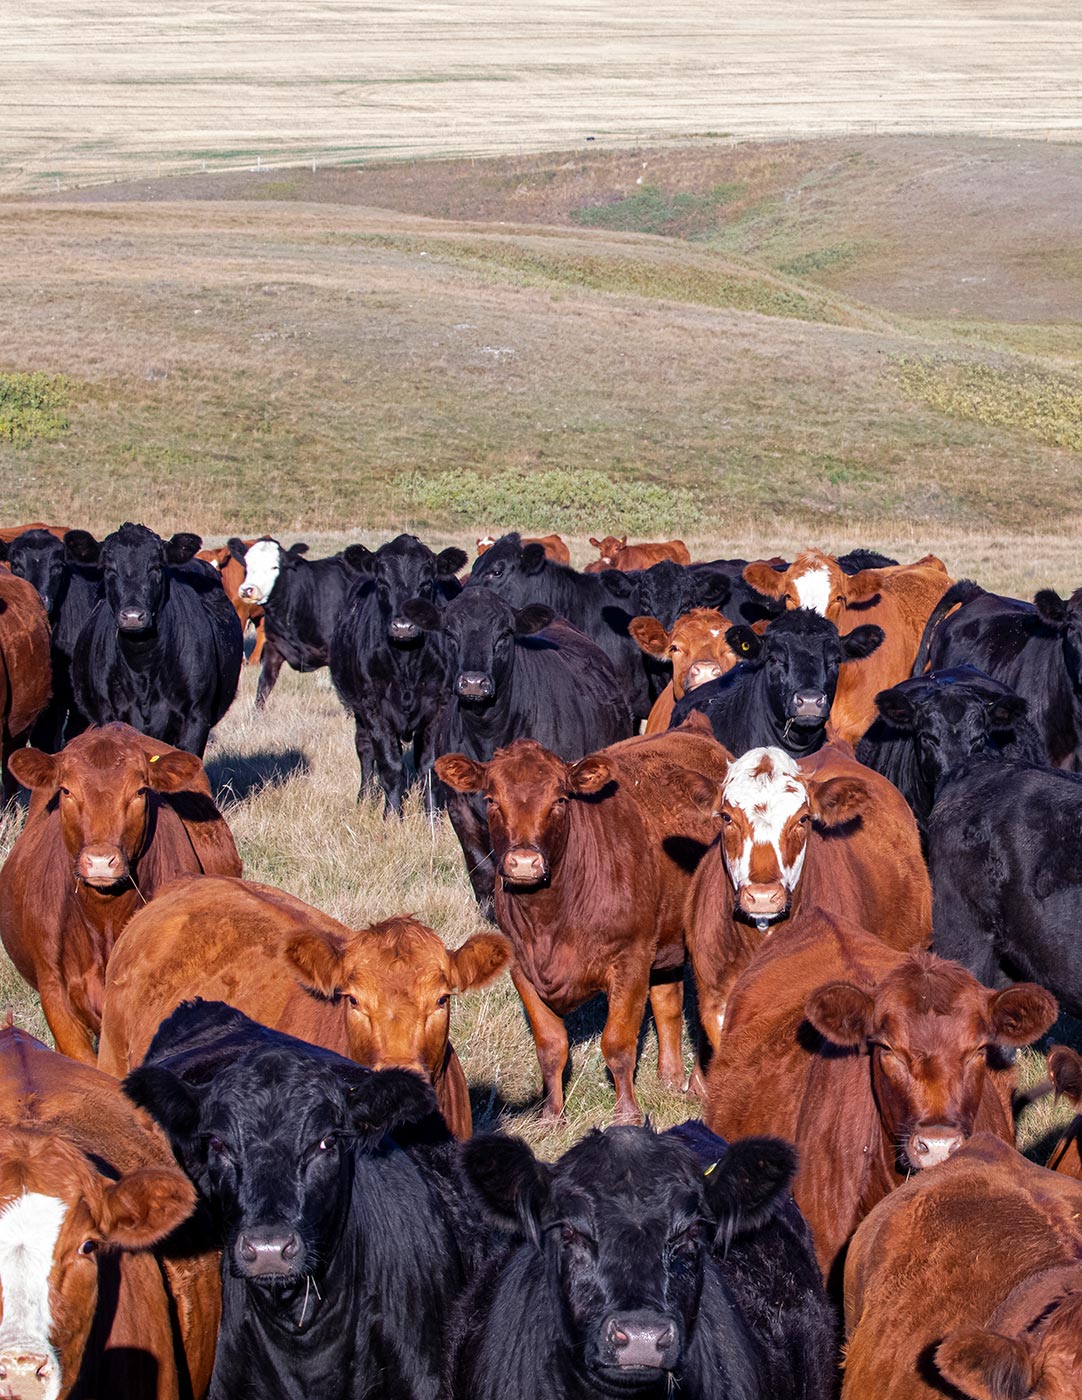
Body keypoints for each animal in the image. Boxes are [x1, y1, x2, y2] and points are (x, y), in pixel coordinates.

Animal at [70, 523, 242, 756]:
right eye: (108, 568)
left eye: (156, 567)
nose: (133, 616)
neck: (144, 666)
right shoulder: (108, 715)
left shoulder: (196, 718)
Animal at [329, 534, 467, 814]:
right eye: (382, 582)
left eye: (426, 583)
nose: (403, 626)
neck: (406, 662)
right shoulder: (374, 708)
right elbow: (390, 766)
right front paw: (392, 815)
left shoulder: (438, 705)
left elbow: (429, 766)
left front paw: (432, 814)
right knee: (364, 750)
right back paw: (364, 798)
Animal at [401, 587, 633, 908]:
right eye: (449, 631)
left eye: (504, 633)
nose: (474, 682)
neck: (488, 733)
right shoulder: (460, 809)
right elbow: (483, 876)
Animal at [436, 720, 730, 1124]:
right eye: (492, 800)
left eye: (560, 800)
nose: (524, 862)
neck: (549, 919)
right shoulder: (522, 967)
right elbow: (550, 1046)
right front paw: (551, 1115)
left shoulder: (630, 959)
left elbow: (617, 1044)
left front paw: (627, 1115)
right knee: (668, 1003)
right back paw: (670, 1080)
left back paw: (699, 1086)